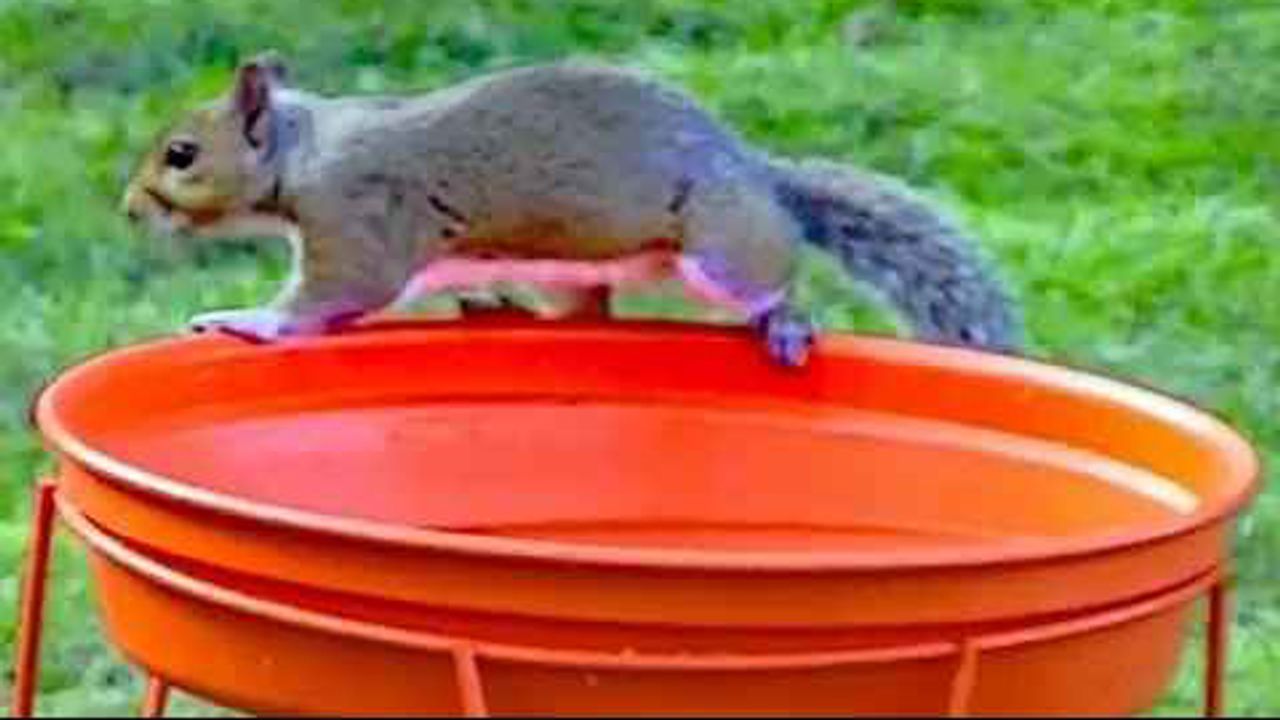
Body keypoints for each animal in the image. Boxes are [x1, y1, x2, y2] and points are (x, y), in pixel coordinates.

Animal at [122, 52, 1023, 366]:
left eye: (182, 155)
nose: (130, 210)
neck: (307, 147)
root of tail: (758, 172)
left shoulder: (359, 215)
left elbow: (336, 295)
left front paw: (246, 319)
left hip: (721, 246)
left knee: (771, 277)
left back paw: (785, 323)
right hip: (575, 267)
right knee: (589, 312)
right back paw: (507, 311)